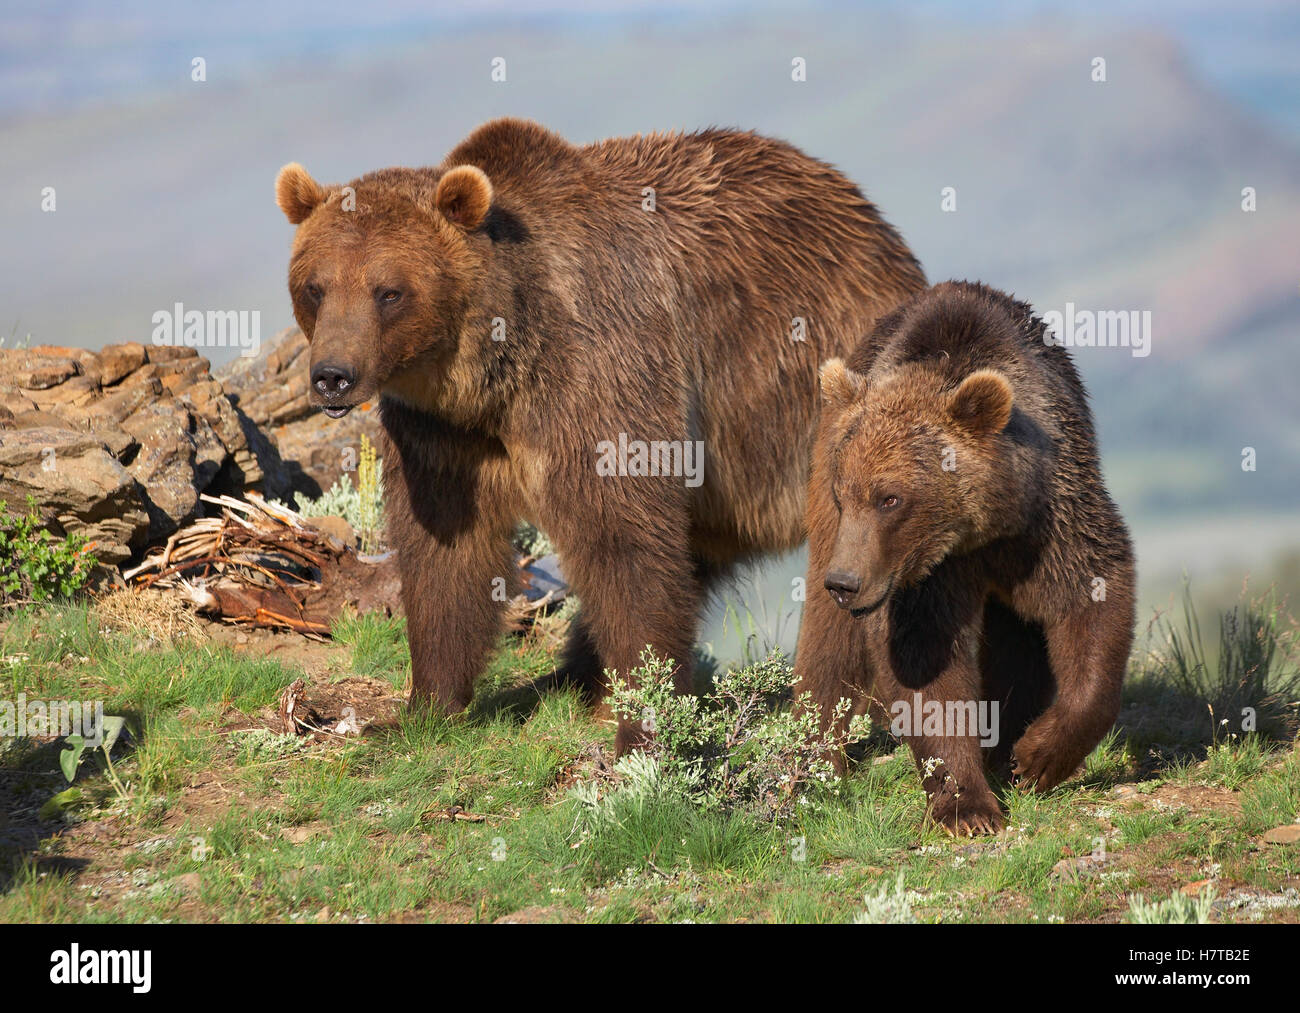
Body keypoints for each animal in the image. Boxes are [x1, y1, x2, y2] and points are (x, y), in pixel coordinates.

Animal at [274, 118, 926, 753]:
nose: (332, 375)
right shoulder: (442, 433)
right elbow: (445, 553)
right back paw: (578, 679)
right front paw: (422, 707)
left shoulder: (601, 372)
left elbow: (623, 538)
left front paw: (645, 726)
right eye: (315, 286)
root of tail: (884, 237)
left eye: (389, 291)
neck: (497, 373)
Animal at [793, 280, 1136, 835]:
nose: (845, 582)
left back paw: (1005, 747)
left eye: (891, 498)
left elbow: (1088, 598)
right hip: (826, 510)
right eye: (848, 495)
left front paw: (1037, 756)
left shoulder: (1049, 520)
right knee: (828, 641)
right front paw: (967, 808)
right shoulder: (924, 576)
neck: (980, 529)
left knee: (1019, 640)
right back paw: (815, 762)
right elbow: (926, 662)